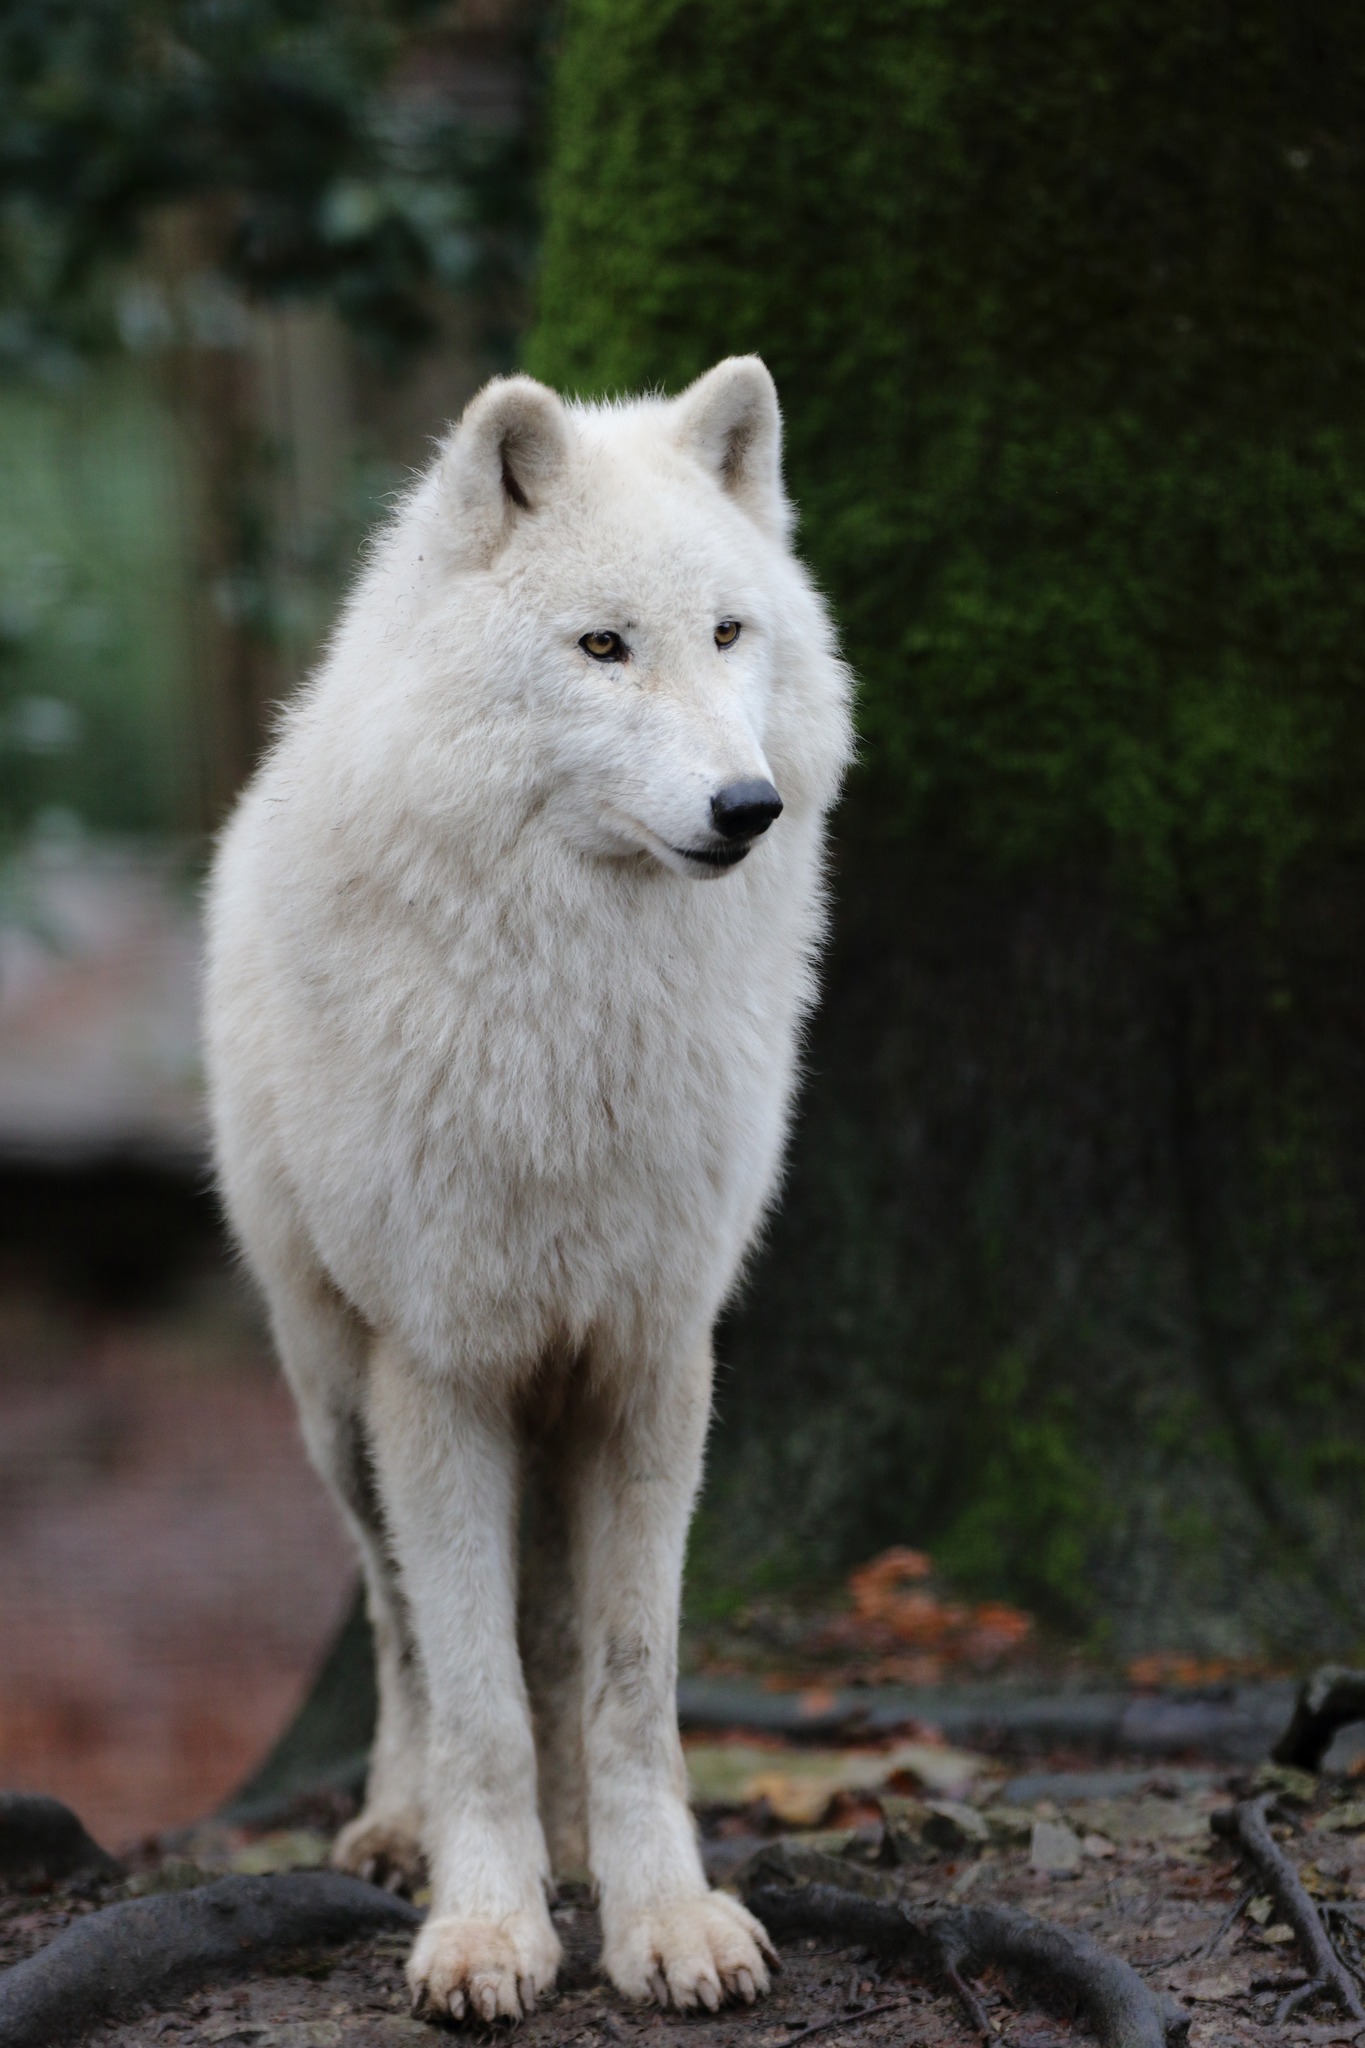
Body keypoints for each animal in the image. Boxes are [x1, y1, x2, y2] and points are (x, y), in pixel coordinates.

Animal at [203, 356, 852, 2023]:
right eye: (602, 646)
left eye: (728, 634)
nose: (747, 807)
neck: (578, 1020)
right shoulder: (439, 1368)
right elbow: (478, 1696)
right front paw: (485, 1925)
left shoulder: (647, 1355)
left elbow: (625, 1684)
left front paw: (662, 1917)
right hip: (338, 1401)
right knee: (402, 1629)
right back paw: (398, 1827)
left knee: (550, 1637)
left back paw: (567, 1849)